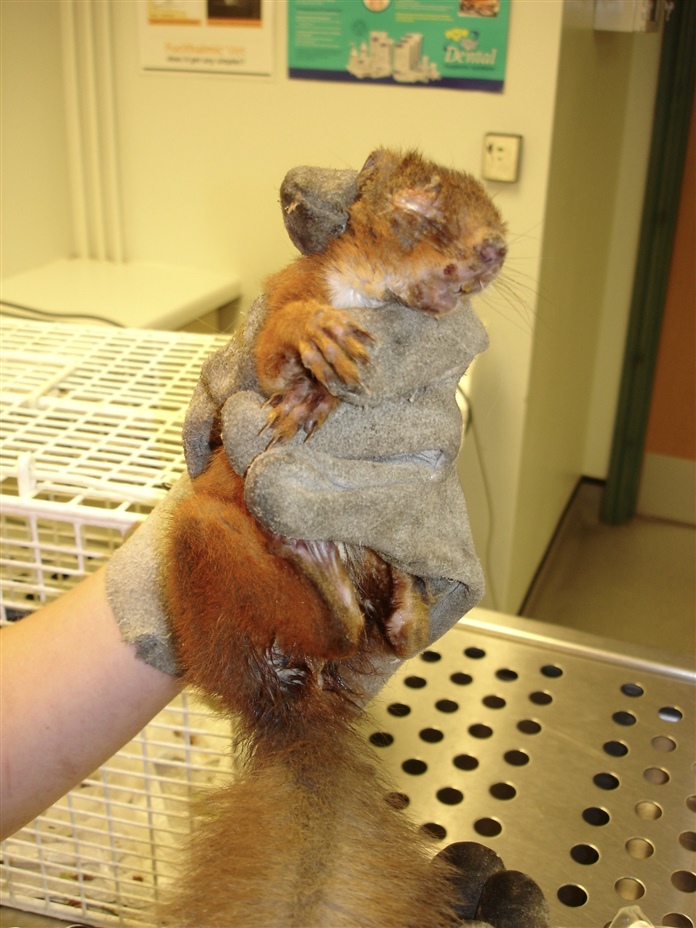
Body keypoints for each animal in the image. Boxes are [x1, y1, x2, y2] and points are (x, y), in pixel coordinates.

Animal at [160, 149, 508, 927]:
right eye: (419, 198)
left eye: (497, 213)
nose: (495, 250)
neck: (368, 294)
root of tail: (295, 706)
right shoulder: (287, 294)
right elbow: (271, 344)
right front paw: (316, 348)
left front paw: (322, 393)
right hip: (208, 547)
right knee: (292, 644)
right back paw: (317, 590)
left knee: (374, 631)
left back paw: (394, 593)